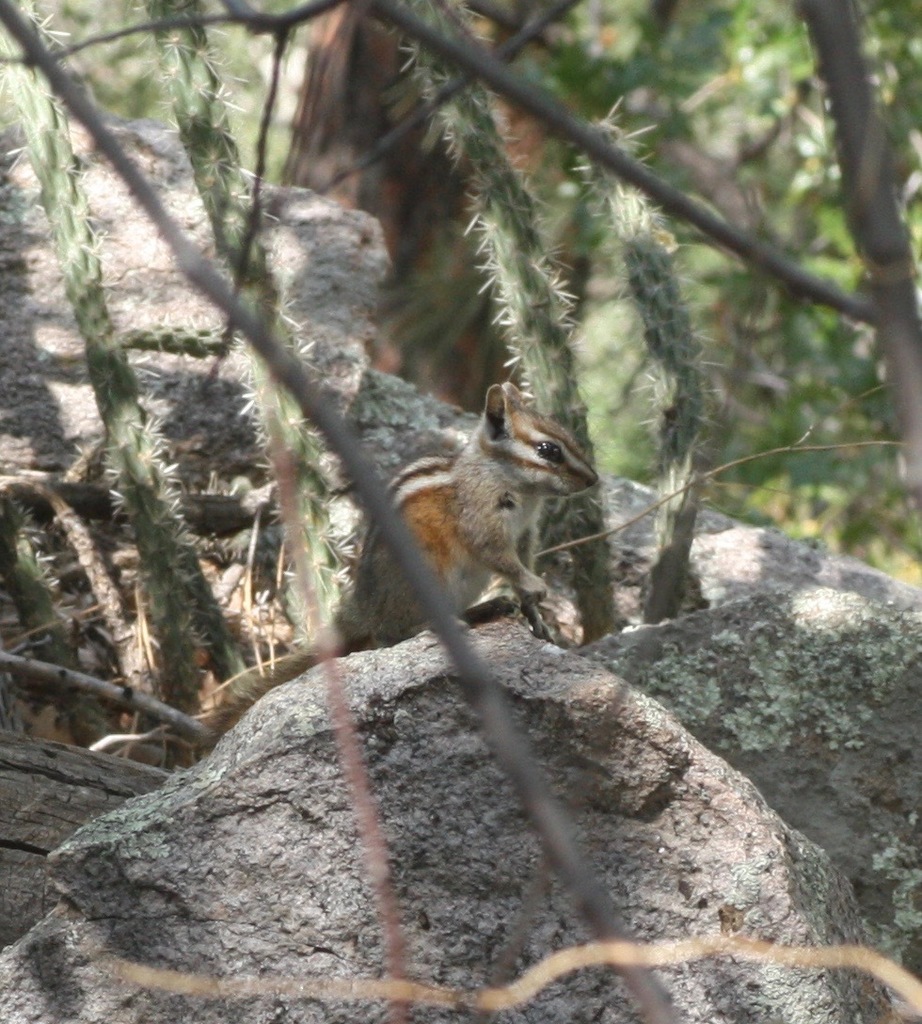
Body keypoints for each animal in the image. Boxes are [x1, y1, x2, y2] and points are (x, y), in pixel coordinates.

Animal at [205, 382, 598, 736]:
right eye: (548, 450)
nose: (593, 479)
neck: (512, 483)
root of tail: (362, 610)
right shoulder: (482, 520)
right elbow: (498, 555)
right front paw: (534, 587)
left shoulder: (526, 532)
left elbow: (522, 563)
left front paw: (534, 611)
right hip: (425, 575)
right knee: (390, 634)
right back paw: (441, 624)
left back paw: (487, 608)